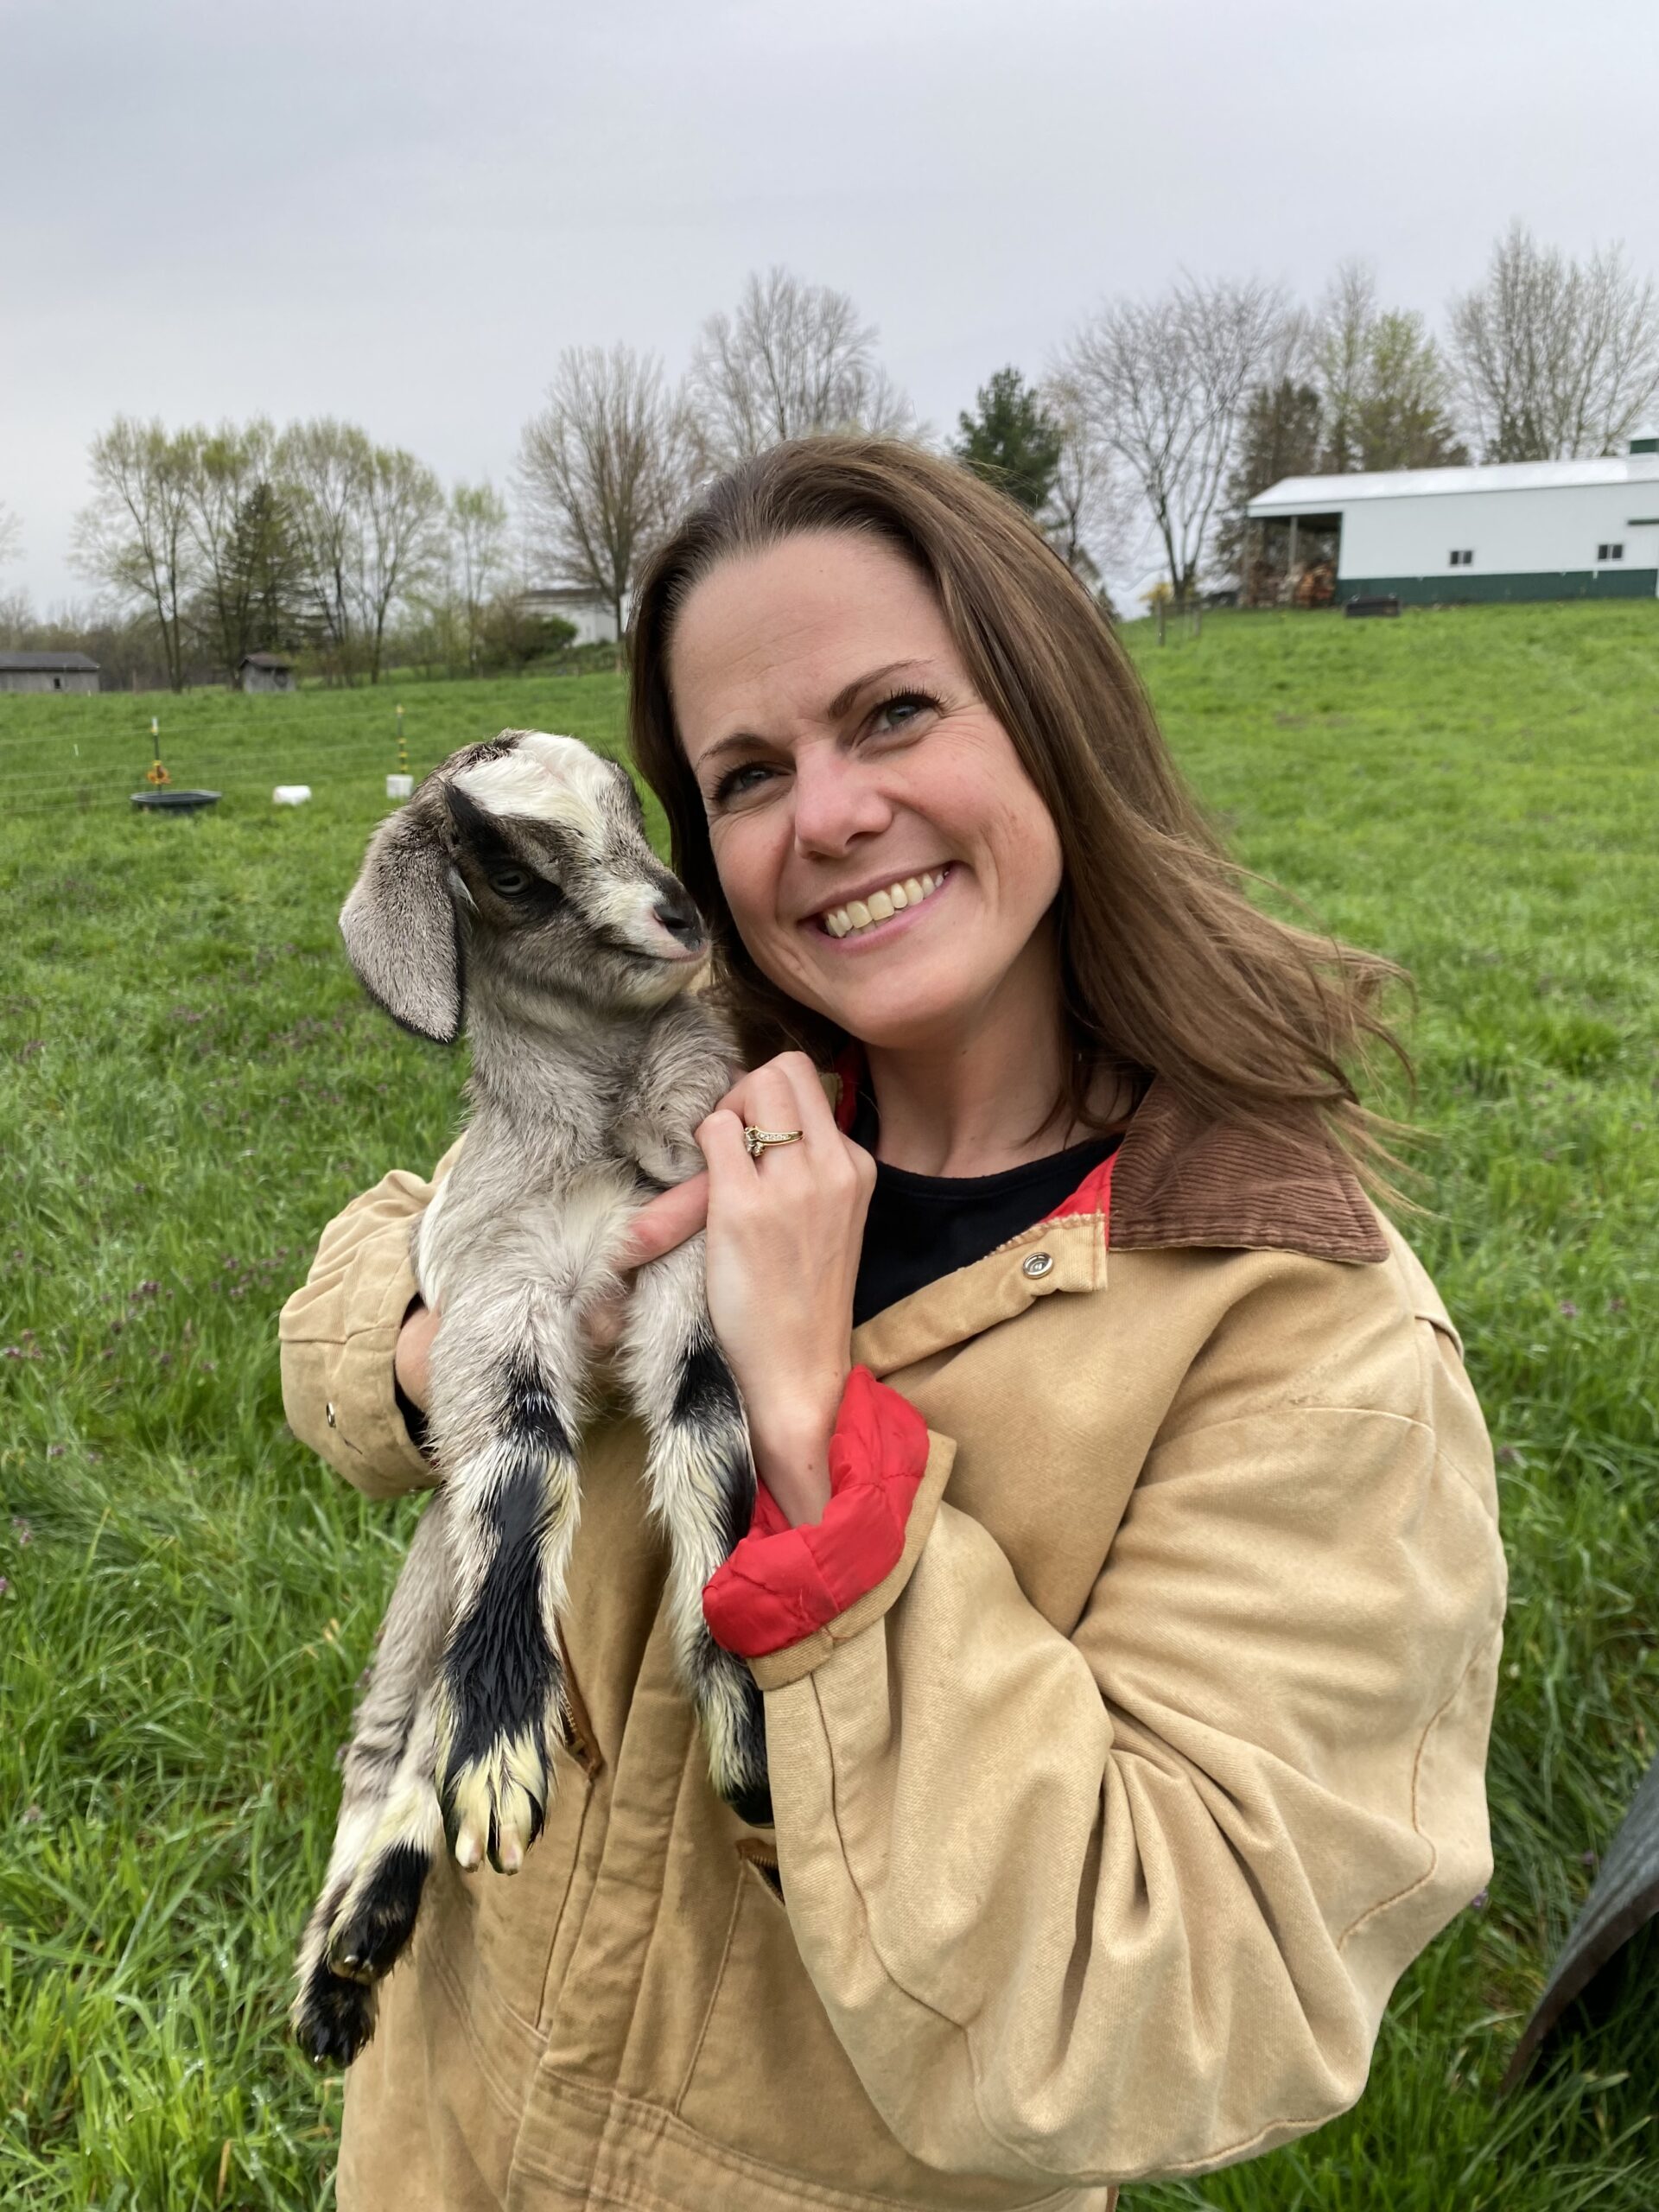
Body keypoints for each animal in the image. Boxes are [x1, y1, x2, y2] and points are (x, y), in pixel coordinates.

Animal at [291, 729, 770, 2067]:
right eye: (508, 874)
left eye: (633, 807)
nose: (679, 917)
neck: (599, 1130)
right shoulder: (494, 1305)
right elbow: (519, 1472)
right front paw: (505, 1740)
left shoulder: (691, 1270)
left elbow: (712, 1433)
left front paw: (742, 1719)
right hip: (419, 1582)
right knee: (386, 1735)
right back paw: (345, 1959)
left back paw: (373, 1929)